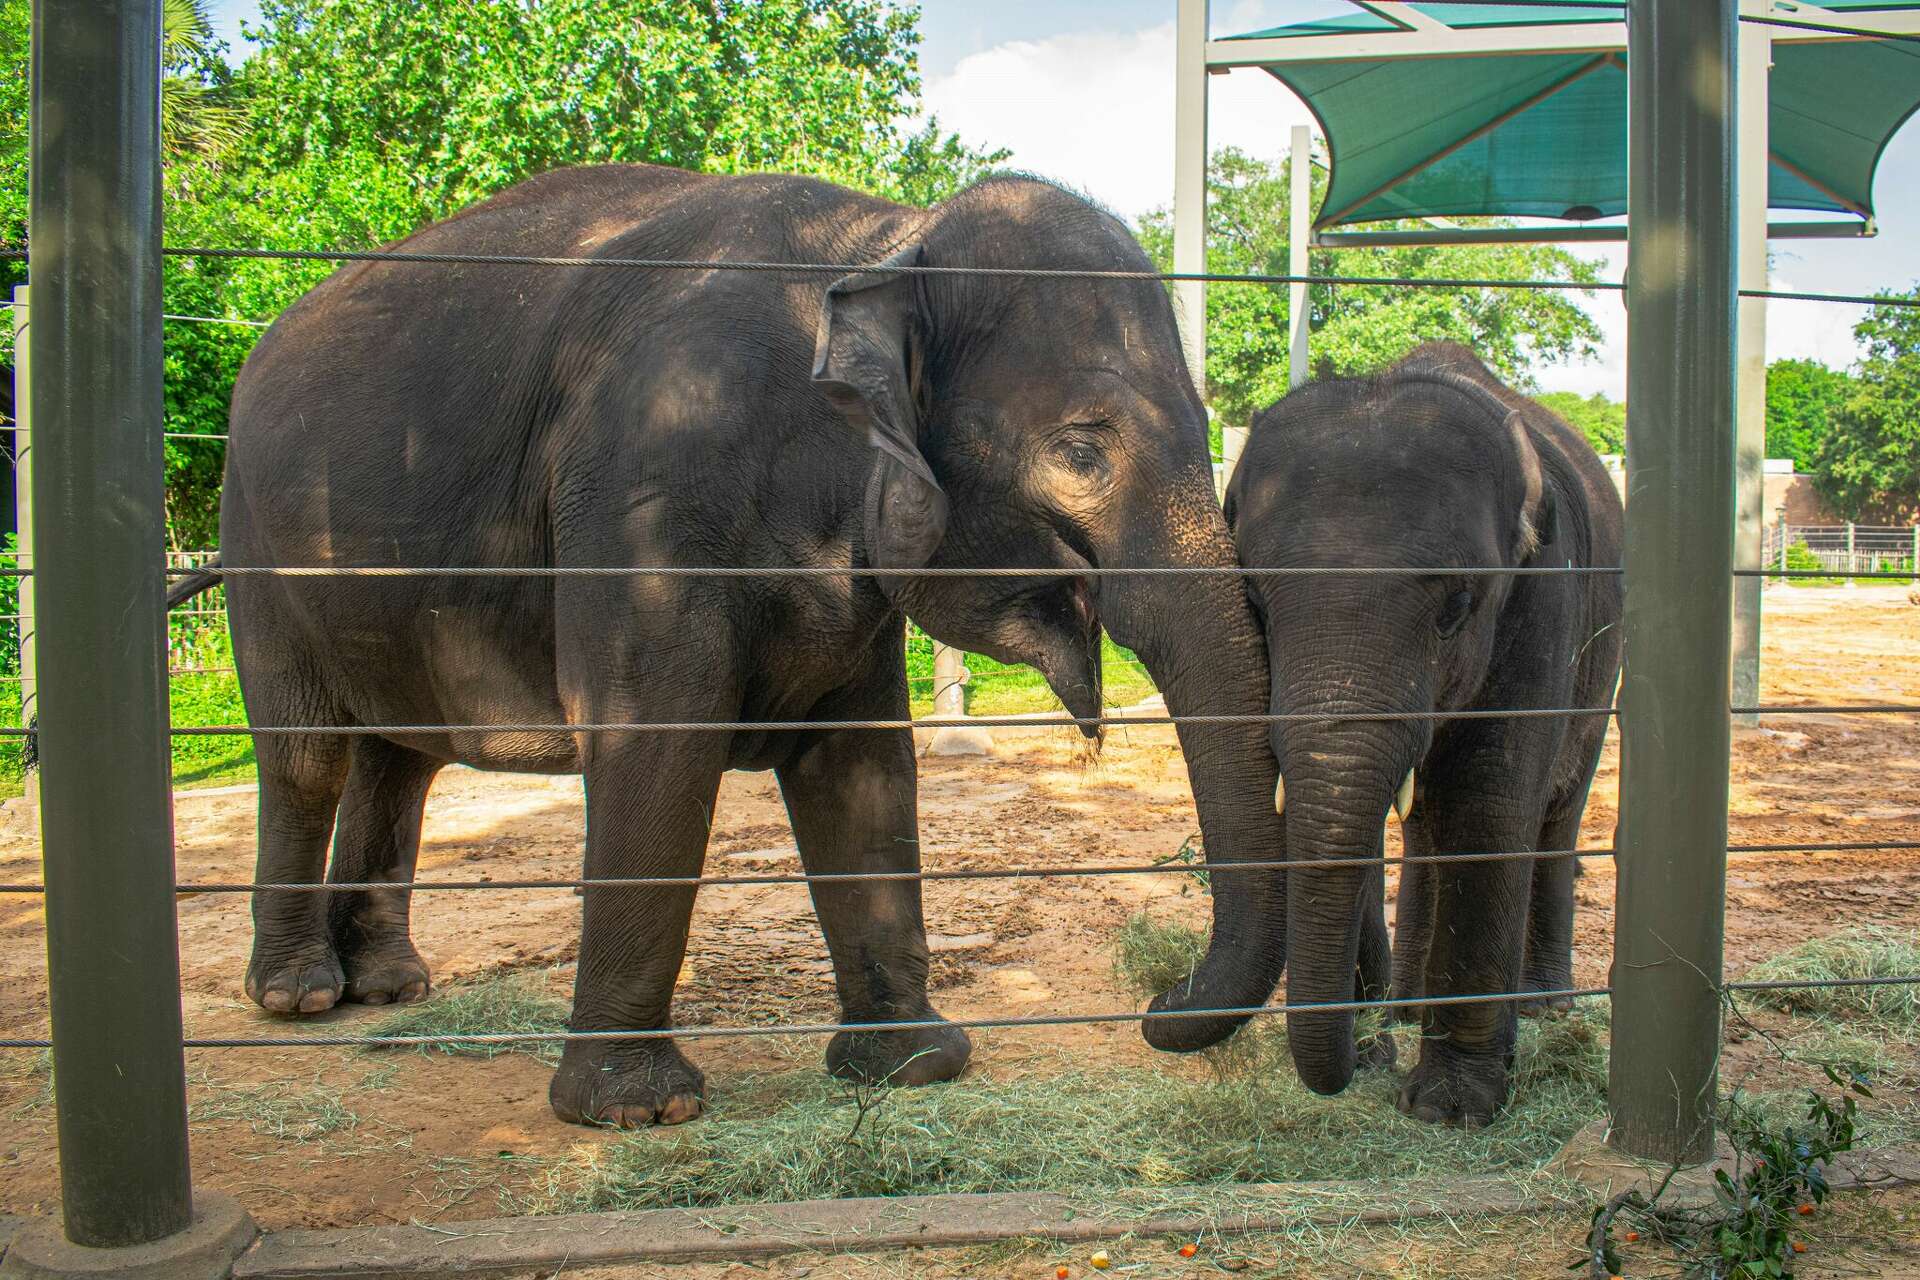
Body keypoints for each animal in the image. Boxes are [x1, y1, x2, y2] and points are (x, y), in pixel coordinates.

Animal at [180, 163, 1285, 1129]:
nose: (1159, 1005)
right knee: (307, 757)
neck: (881, 239)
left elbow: (862, 765)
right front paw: (635, 1110)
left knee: (398, 758)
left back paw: (388, 985)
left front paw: (914, 1065)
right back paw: (298, 996)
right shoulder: (644, 493)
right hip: (258, 545)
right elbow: (657, 742)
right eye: (1081, 452)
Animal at [1145, 341, 1622, 1128]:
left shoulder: (1544, 597)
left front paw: (1451, 1109)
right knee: (1428, 823)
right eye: (1254, 600)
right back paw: (1406, 1010)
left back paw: (1544, 1006)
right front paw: (1376, 1052)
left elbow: (1490, 805)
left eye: (1457, 607)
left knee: (1554, 810)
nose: (1157, 1005)